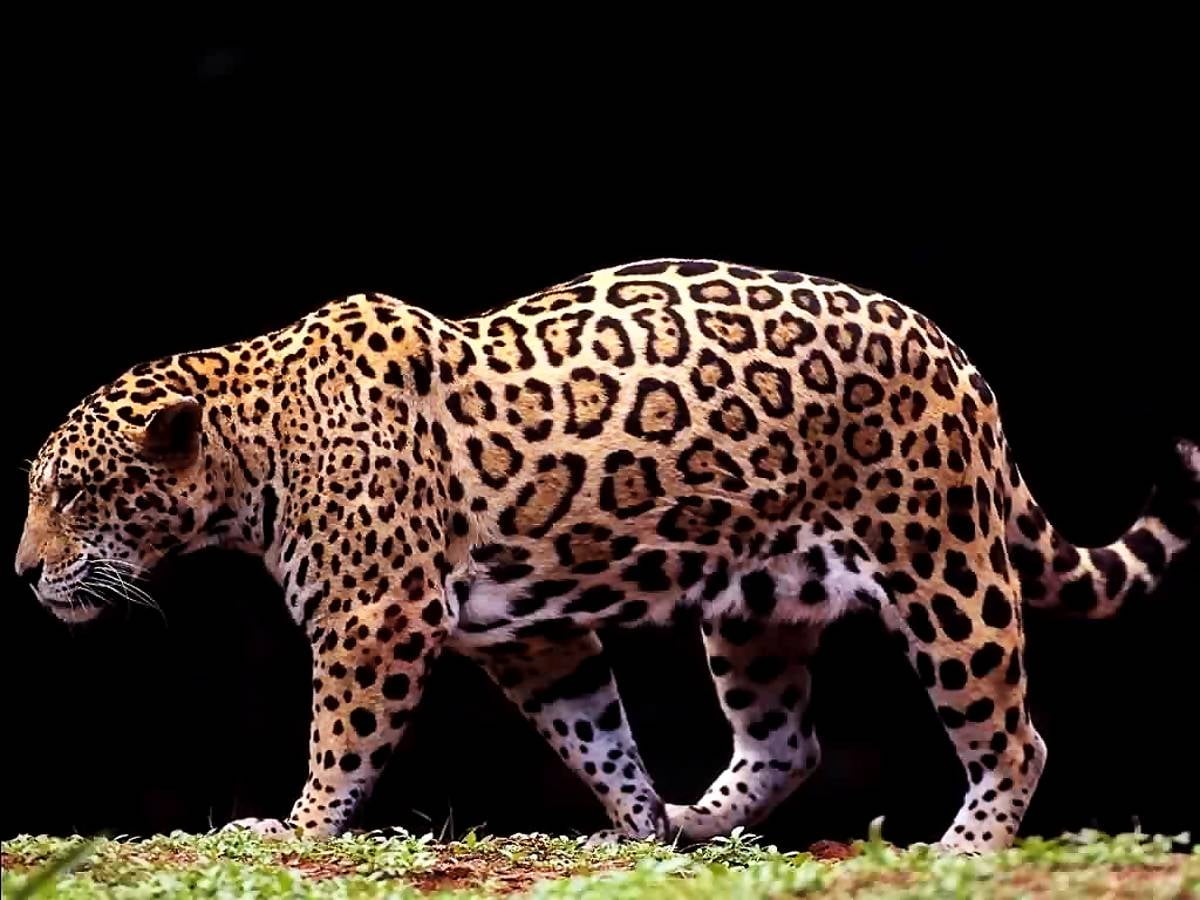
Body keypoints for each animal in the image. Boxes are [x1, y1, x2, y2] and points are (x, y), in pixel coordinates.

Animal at [15, 259, 1199, 853]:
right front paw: (633, 828)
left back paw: (967, 850)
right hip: (755, 608)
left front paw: (292, 831)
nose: (23, 573)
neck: (251, 450)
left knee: (1016, 736)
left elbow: (341, 746)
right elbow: (598, 737)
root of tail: (961, 359)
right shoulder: (535, 640)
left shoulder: (375, 622)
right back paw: (695, 819)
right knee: (788, 742)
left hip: (944, 567)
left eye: (72, 493)